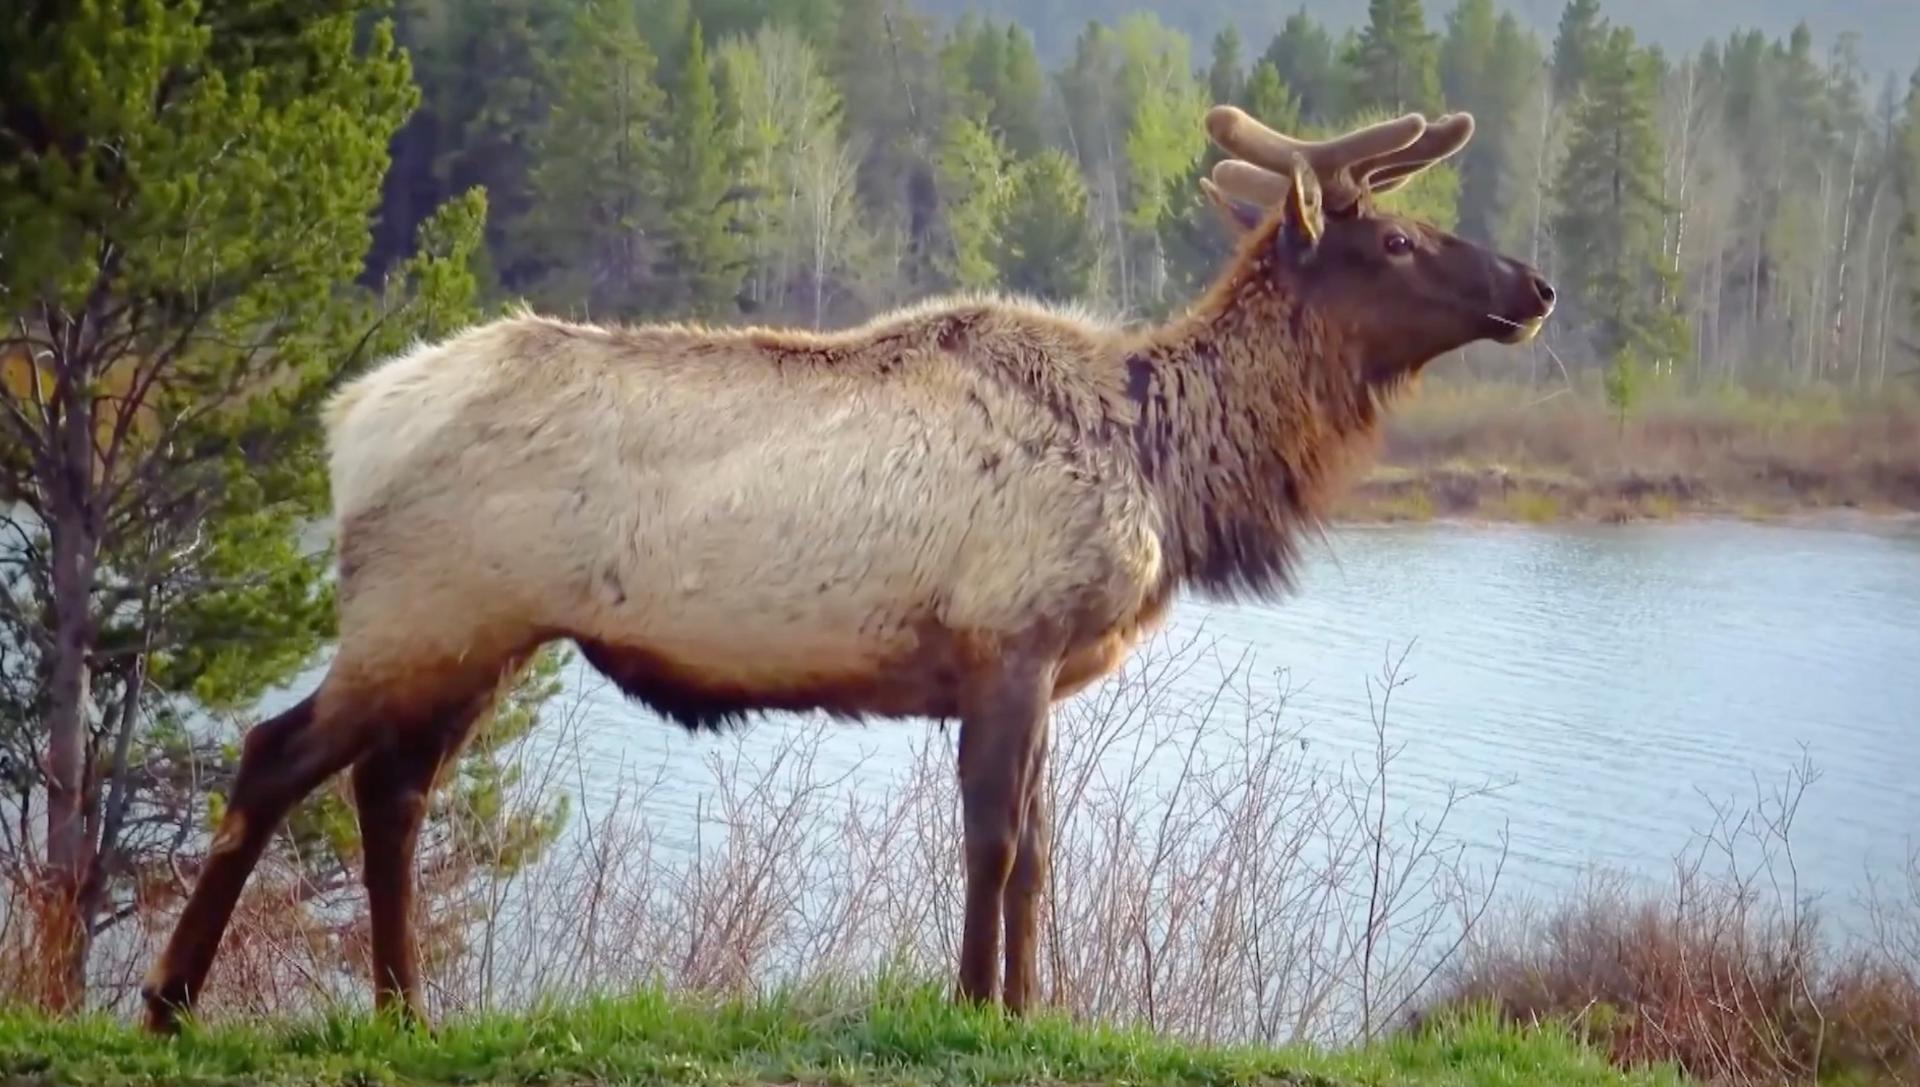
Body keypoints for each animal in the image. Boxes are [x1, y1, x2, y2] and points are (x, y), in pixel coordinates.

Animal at [139, 104, 1555, 1034]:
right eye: (1398, 242)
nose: (1535, 286)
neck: (1167, 465)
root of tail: (347, 421)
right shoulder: (1007, 641)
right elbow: (992, 842)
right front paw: (974, 1007)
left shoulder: (1039, 667)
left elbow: (1037, 857)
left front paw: (1030, 1011)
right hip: (425, 611)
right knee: (274, 755)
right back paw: (170, 999)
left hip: (480, 635)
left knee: (389, 793)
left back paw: (405, 1011)